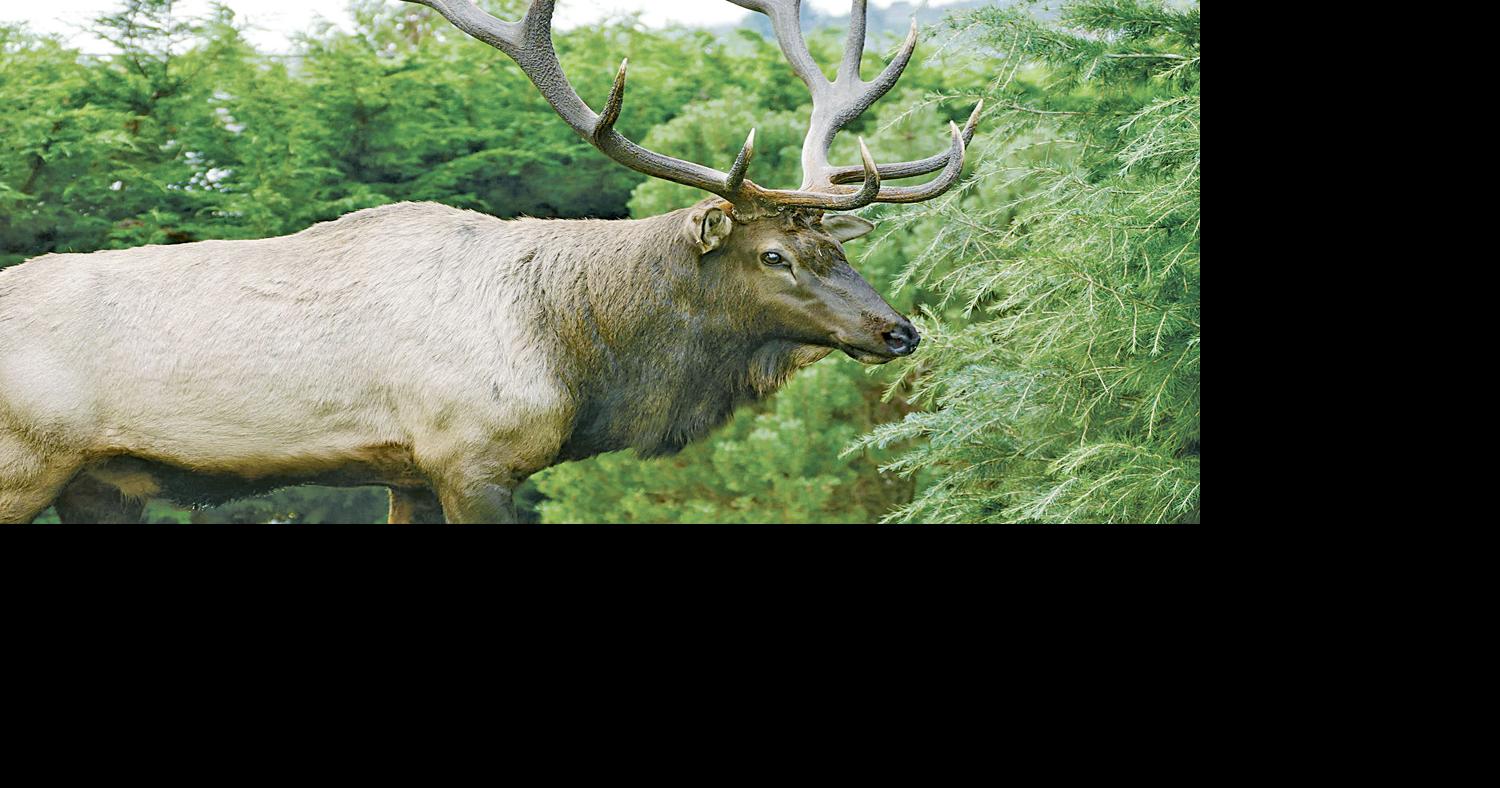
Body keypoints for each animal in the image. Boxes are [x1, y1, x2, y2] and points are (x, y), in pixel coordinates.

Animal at [0, 0, 979, 524]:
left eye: (834, 246)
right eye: (775, 254)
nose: (897, 331)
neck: (577, 355)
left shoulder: (406, 467)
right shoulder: (472, 455)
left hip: (100, 484)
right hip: (26, 460)